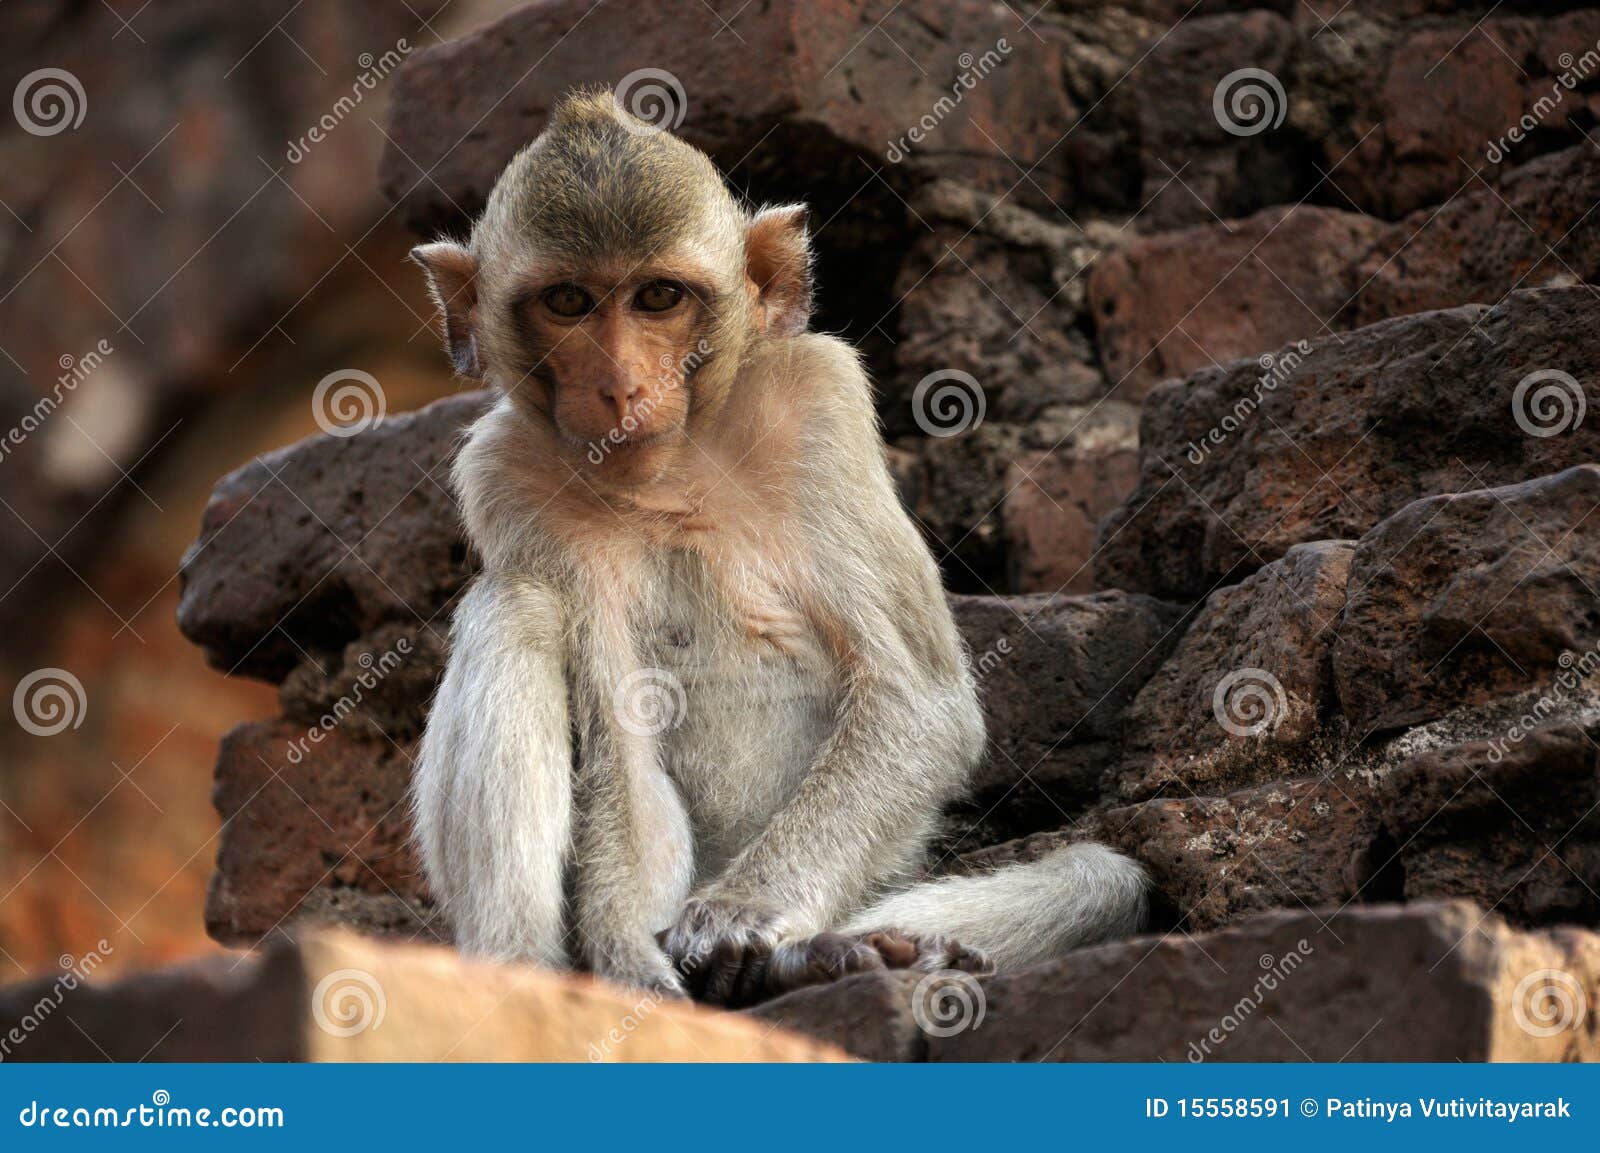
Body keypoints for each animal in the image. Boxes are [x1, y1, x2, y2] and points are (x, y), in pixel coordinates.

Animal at [408, 90, 1147, 1006]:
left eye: (658, 296)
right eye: (569, 302)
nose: (619, 385)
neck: (676, 468)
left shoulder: (816, 401)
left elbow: (916, 700)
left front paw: (740, 916)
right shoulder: (505, 476)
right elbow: (626, 755)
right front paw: (631, 963)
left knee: (1098, 878)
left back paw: (834, 953)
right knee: (513, 604)